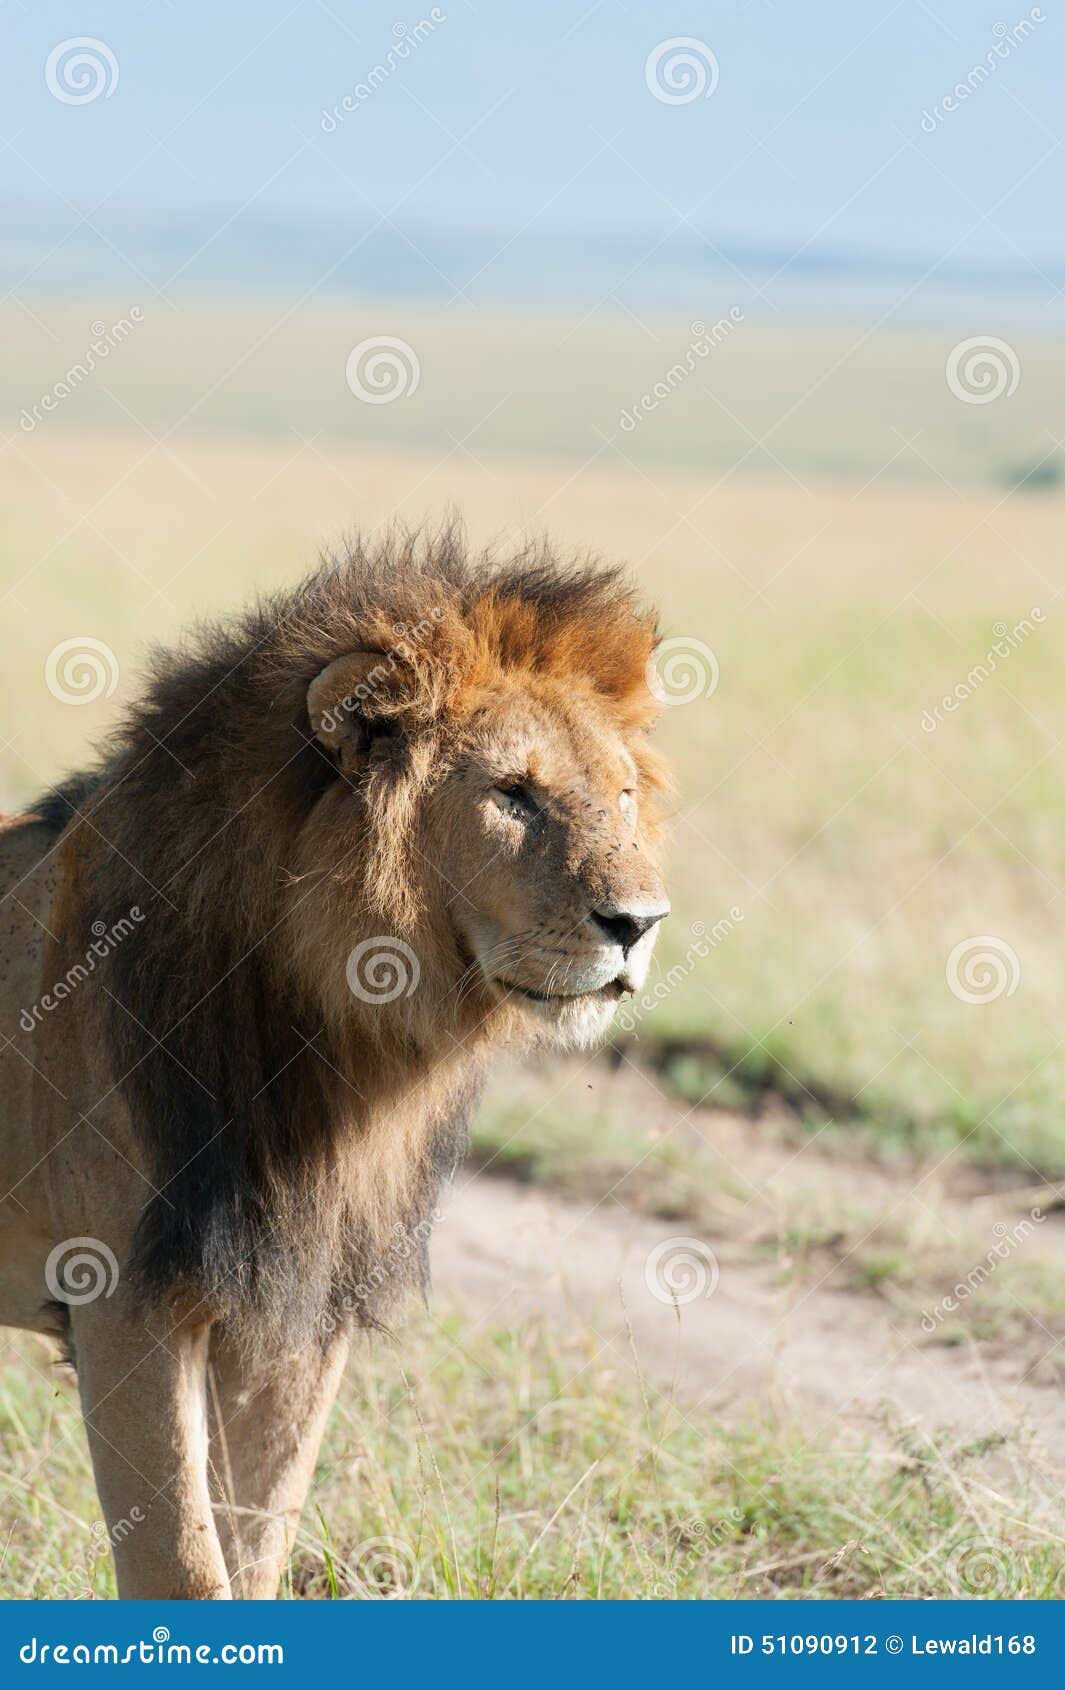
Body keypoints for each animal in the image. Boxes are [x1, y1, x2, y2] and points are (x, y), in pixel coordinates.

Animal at [0, 528, 670, 1599]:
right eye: (513, 796)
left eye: (622, 795)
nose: (640, 923)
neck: (339, 1056)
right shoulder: (122, 1301)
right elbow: (182, 1564)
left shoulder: (299, 1308)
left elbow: (255, 1540)